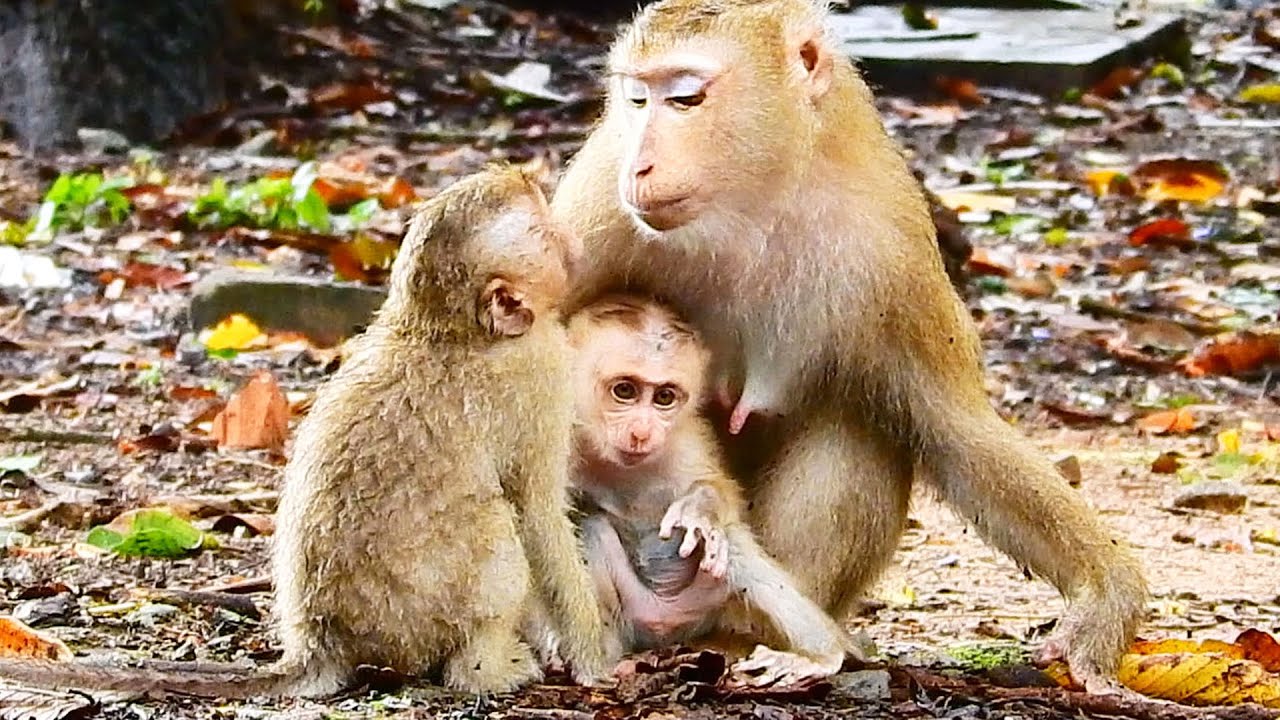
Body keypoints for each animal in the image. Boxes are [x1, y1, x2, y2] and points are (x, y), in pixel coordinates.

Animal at [0, 166, 612, 698]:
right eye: (543, 232)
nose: (569, 238)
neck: (448, 329)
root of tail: (323, 641)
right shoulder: (539, 378)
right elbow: (535, 511)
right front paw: (594, 657)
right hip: (421, 618)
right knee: (494, 526)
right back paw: (485, 667)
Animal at [563, 295, 849, 686]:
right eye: (625, 390)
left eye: (664, 397)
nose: (642, 432)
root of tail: (664, 622)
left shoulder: (686, 443)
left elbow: (724, 494)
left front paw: (700, 508)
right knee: (590, 527)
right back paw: (602, 663)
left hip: (707, 606)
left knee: (734, 545)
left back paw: (823, 654)